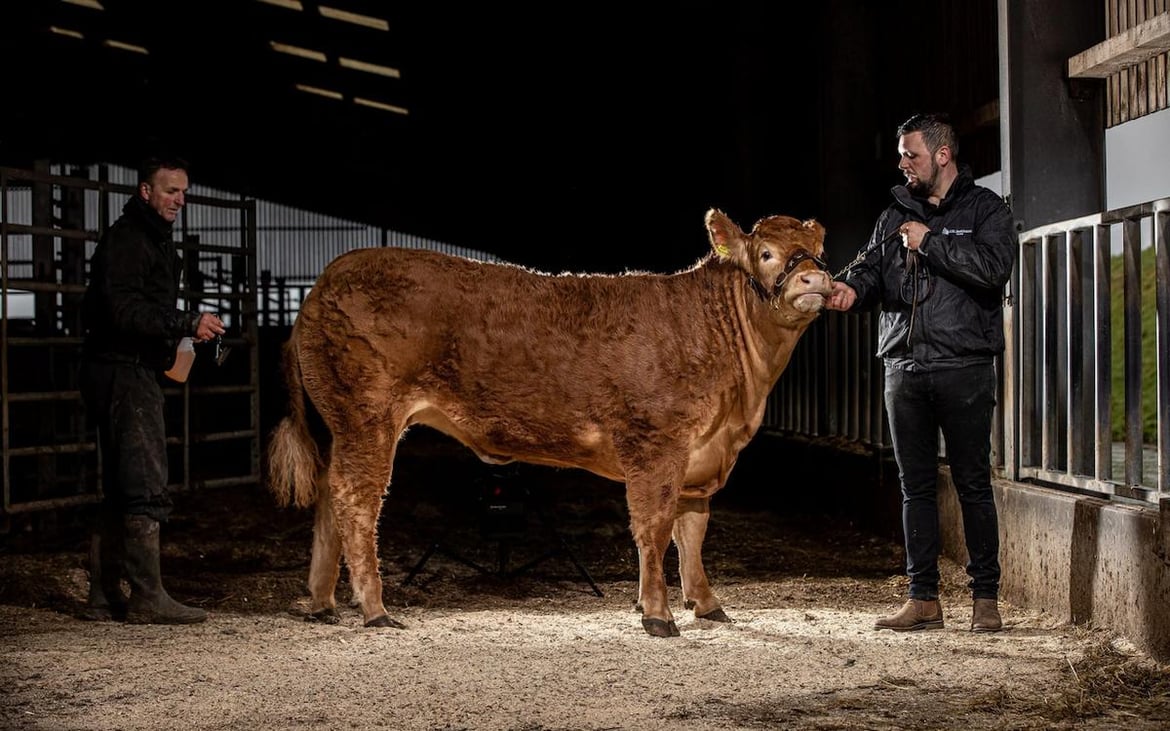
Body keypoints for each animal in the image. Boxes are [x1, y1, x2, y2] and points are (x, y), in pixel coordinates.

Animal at [267, 208, 833, 637]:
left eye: (818, 250)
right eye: (766, 253)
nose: (815, 279)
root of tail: (325, 281)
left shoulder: (702, 454)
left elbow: (691, 531)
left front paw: (707, 603)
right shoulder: (655, 444)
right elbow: (654, 528)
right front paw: (656, 613)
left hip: (342, 425)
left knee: (327, 496)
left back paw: (321, 602)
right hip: (367, 417)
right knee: (355, 500)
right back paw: (374, 609)